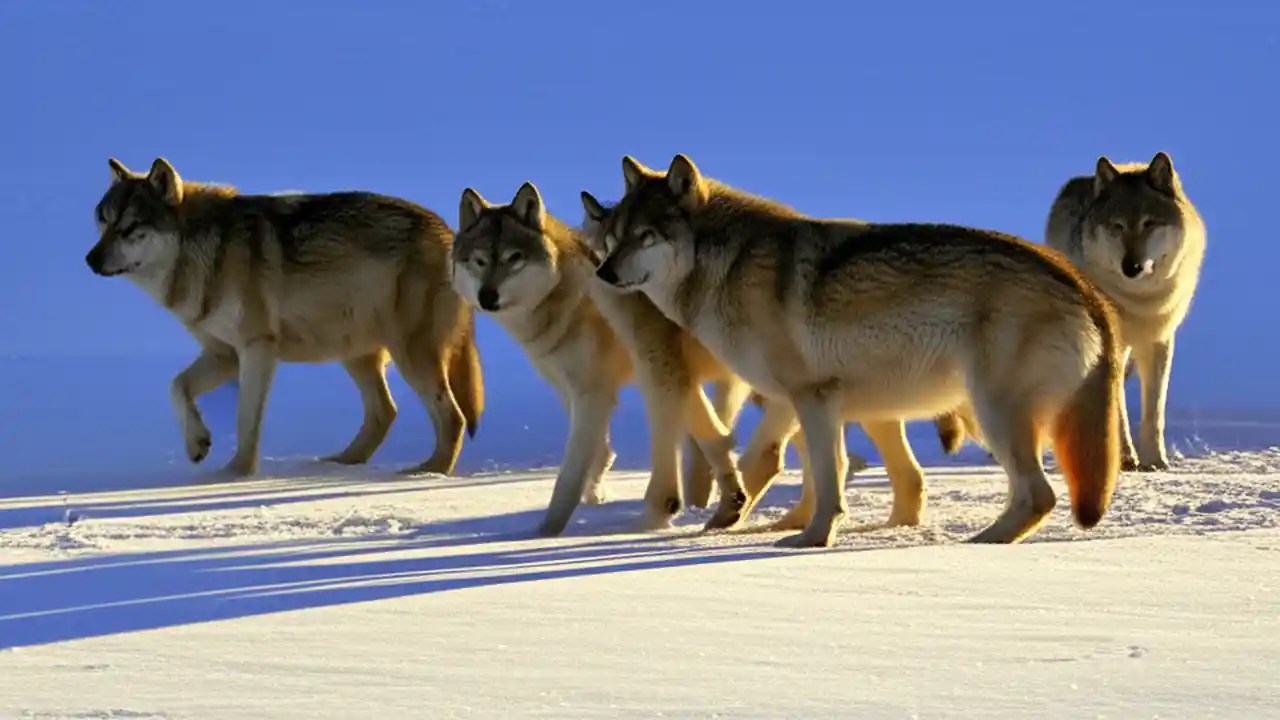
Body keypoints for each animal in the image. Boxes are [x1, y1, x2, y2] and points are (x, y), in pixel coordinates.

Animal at [86, 157, 483, 478]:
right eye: (103, 221)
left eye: (130, 227)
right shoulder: (224, 355)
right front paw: (197, 444)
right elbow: (176, 387)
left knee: (452, 417)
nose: (90, 259)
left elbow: (246, 420)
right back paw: (339, 462)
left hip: (409, 354)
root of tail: (448, 231)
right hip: (355, 353)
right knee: (385, 412)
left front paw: (235, 475)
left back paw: (429, 472)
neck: (207, 253)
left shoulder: (257, 348)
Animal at [451, 181, 748, 536]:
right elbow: (713, 438)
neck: (571, 298)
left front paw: (543, 534)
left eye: (513, 258)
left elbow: (570, 476)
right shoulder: (622, 385)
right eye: (479, 261)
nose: (487, 297)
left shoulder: (598, 393)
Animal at [593, 153, 1125, 547]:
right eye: (613, 239)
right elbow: (800, 468)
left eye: (646, 237)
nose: (603, 272)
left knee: (1039, 496)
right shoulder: (804, 403)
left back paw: (977, 545)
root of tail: (1084, 286)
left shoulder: (812, 397)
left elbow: (826, 475)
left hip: (992, 413)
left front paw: (811, 539)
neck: (727, 263)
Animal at [936, 152, 1205, 472]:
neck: (1138, 300)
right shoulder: (1114, 346)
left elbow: (1154, 414)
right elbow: (1118, 411)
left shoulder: (1159, 342)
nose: (1132, 267)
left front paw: (1155, 461)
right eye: (1117, 226)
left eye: (1149, 223)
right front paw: (1126, 458)